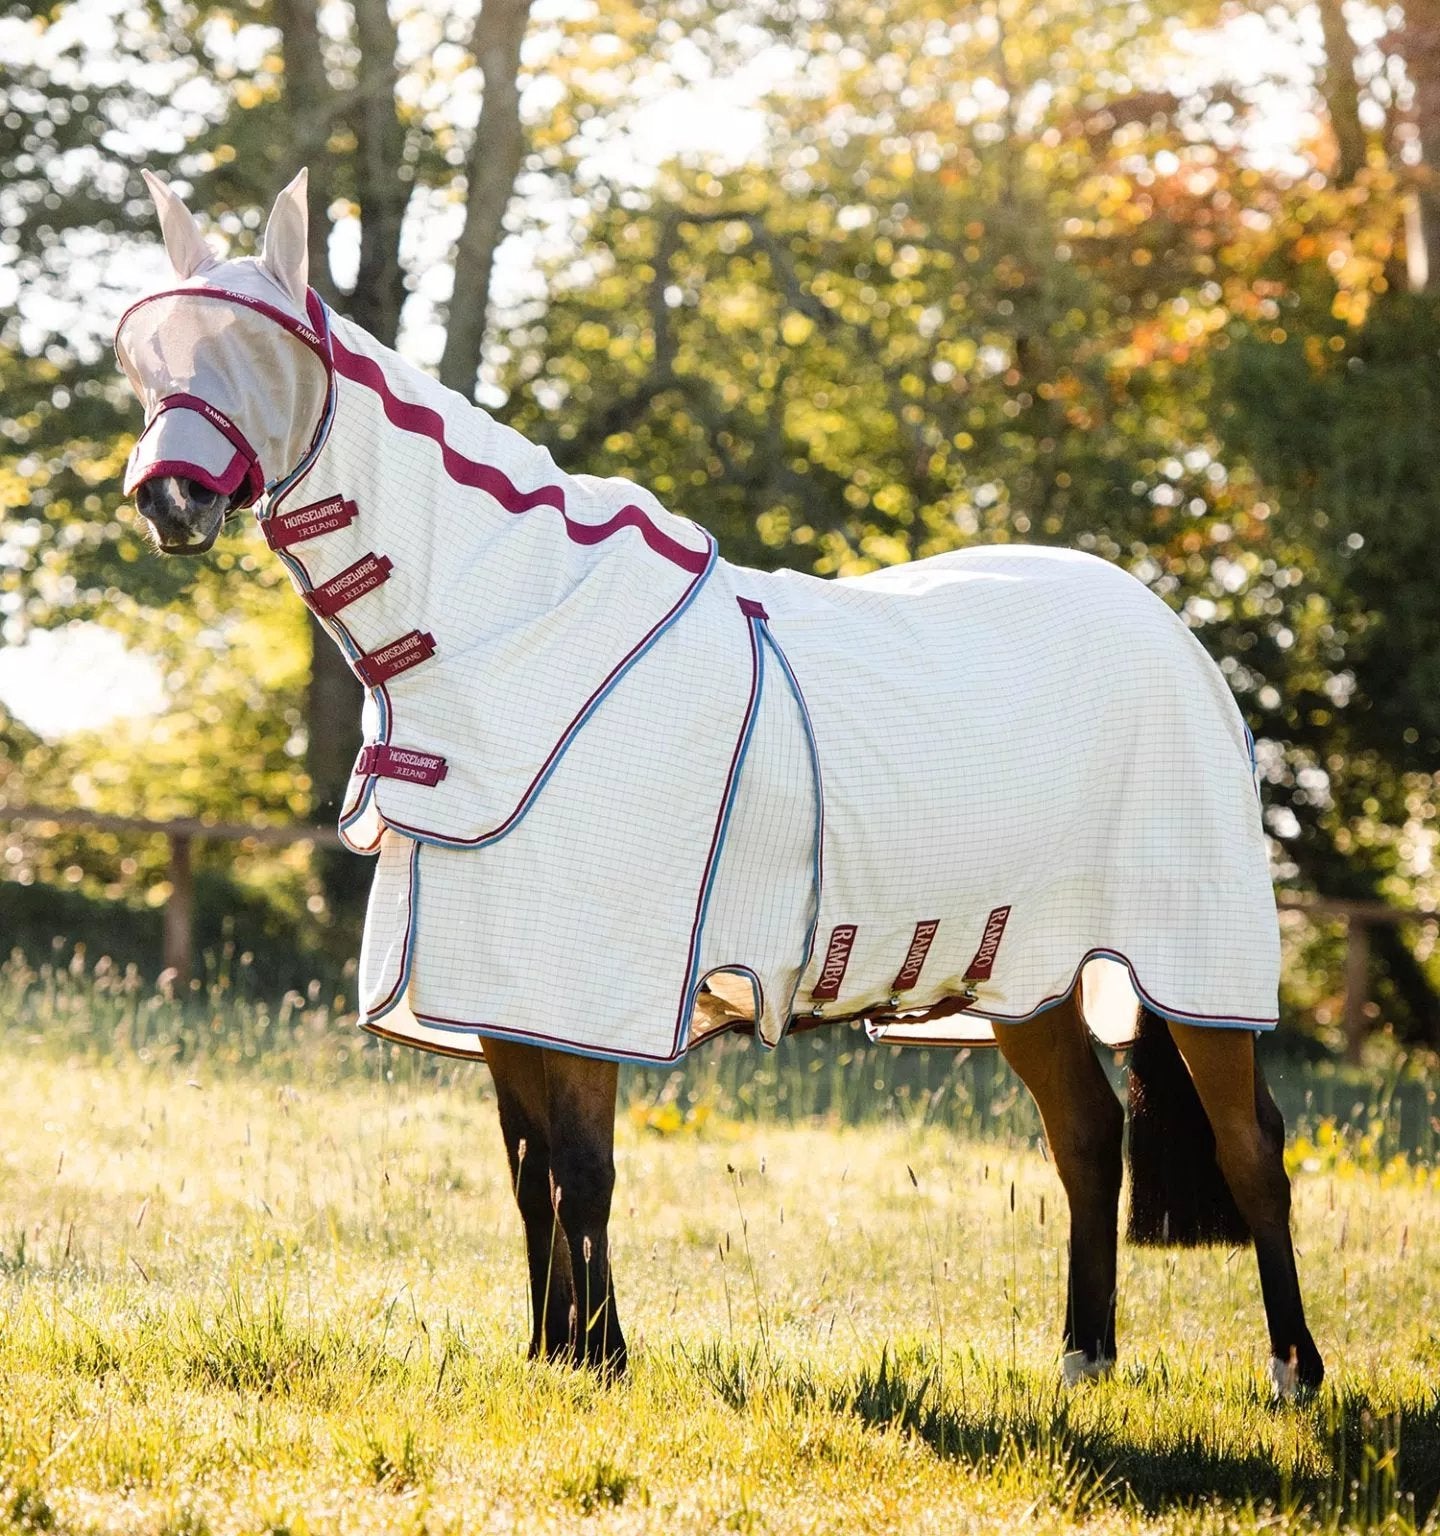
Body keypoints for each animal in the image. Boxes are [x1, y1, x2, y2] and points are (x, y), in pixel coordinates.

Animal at [115, 170, 1324, 1395]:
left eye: (253, 349)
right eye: (146, 356)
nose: (169, 499)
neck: (518, 635)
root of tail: (1176, 636)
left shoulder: (587, 993)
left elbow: (582, 1174)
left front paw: (602, 1360)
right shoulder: (501, 997)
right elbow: (529, 1177)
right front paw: (555, 1353)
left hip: (1194, 962)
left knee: (1249, 1146)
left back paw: (1293, 1371)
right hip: (1023, 972)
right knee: (1086, 1138)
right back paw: (1084, 1357)